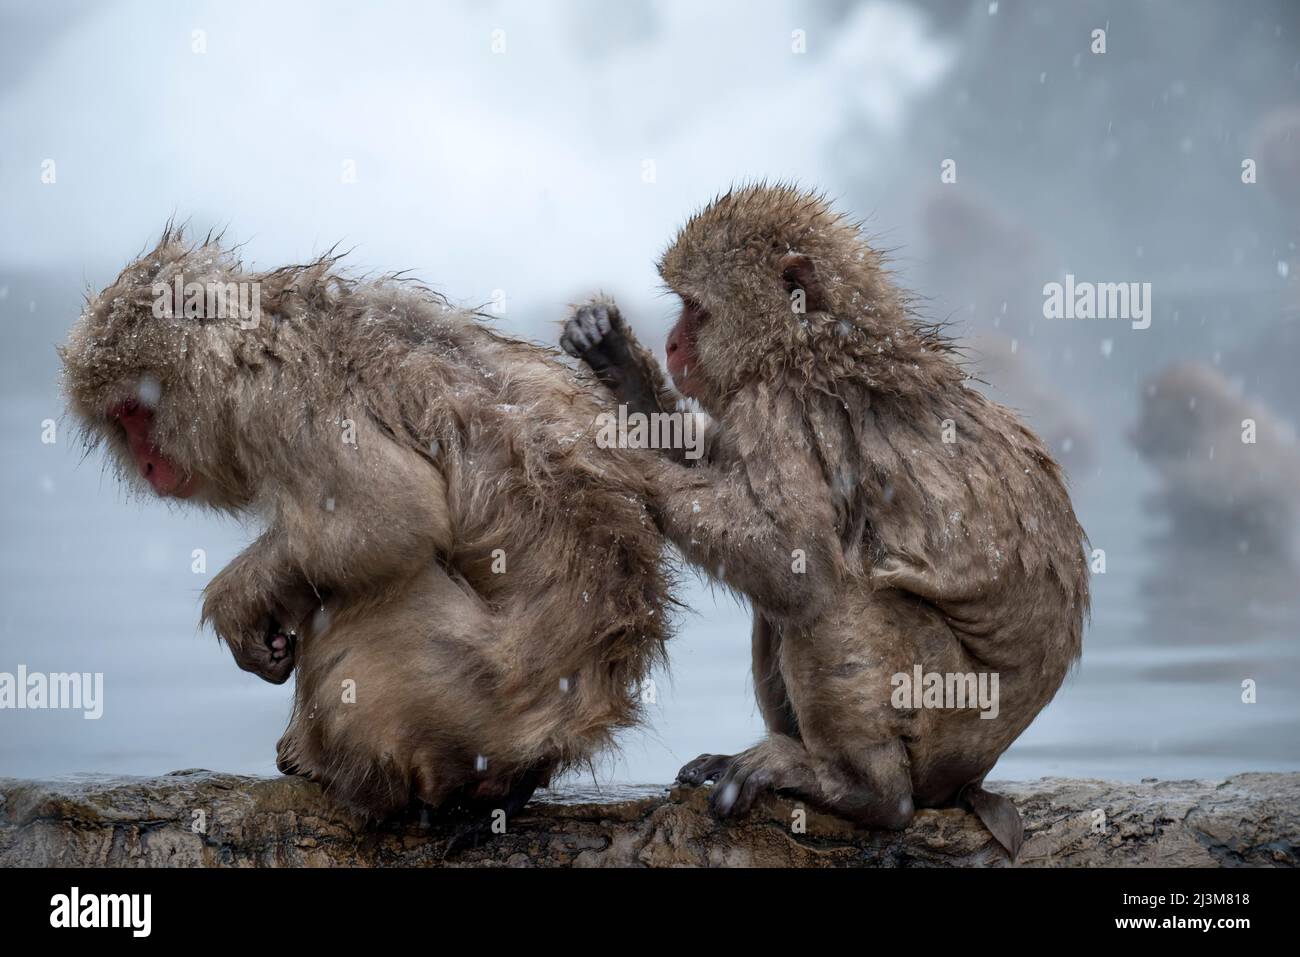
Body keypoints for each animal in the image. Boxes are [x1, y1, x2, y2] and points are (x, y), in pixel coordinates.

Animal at [60, 228, 673, 820]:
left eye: (134, 412)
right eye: (120, 422)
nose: (145, 463)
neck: (246, 343)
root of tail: (571, 731)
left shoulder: (279, 399)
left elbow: (392, 519)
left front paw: (233, 604)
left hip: (464, 695)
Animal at [561, 184, 1090, 857]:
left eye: (695, 309)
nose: (673, 345)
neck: (806, 343)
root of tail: (970, 780)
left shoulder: (780, 410)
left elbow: (796, 566)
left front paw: (620, 448)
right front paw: (616, 359)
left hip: (952, 713)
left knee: (835, 597)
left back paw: (864, 790)